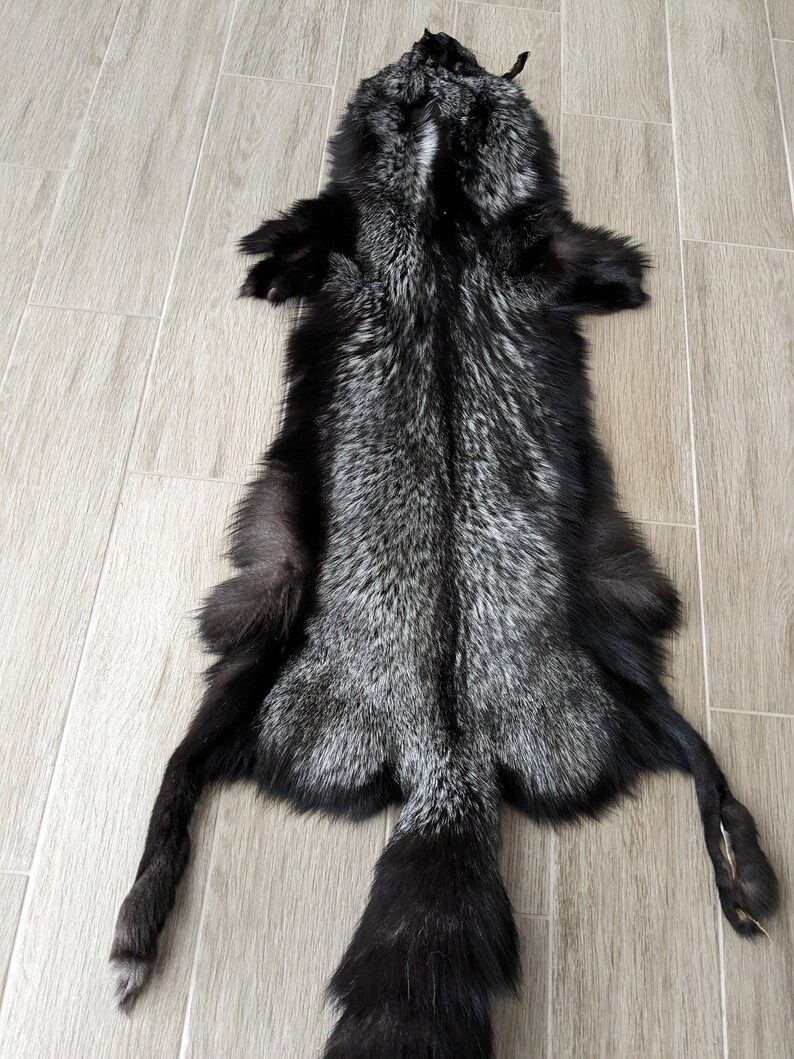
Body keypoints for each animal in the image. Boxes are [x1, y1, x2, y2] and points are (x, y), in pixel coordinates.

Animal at [111, 30, 779, 1058]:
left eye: (444, 69)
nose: (433, 34)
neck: (440, 206)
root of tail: (449, 749)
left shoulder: (489, 239)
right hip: (594, 655)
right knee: (703, 769)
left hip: (273, 639)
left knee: (177, 786)